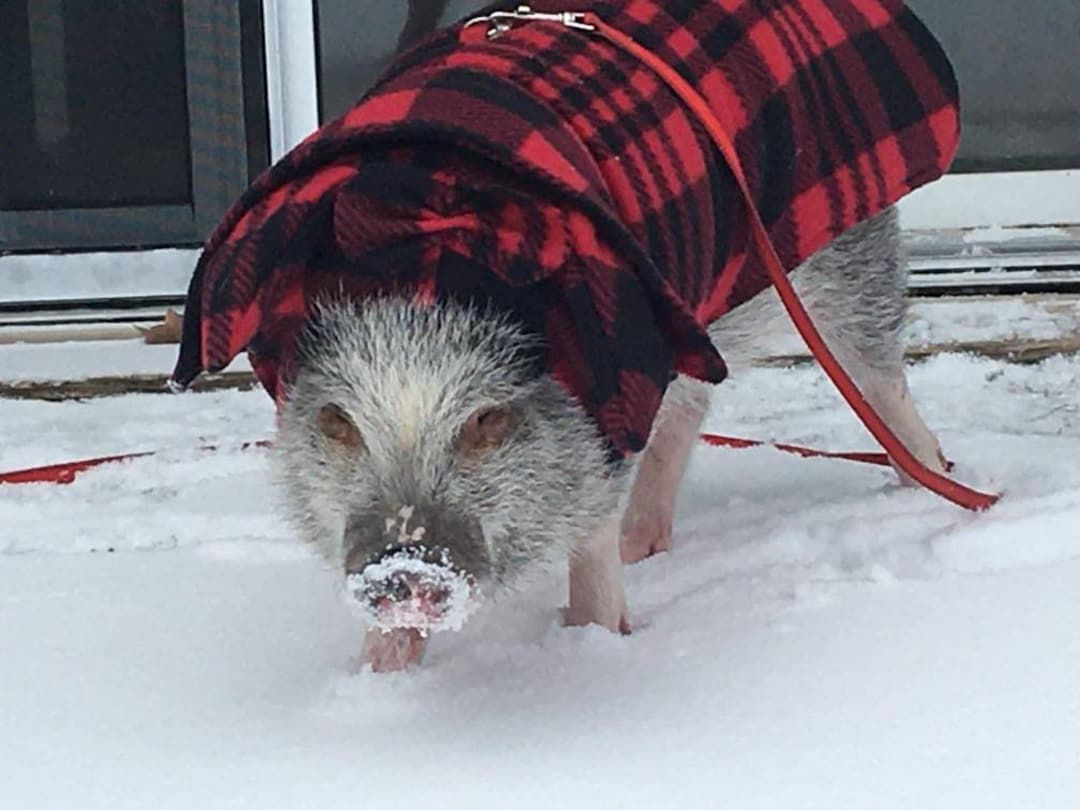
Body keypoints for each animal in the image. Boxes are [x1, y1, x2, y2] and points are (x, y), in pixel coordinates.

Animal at [273, 207, 945, 671]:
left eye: (487, 419)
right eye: (338, 420)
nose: (402, 567)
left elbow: (593, 532)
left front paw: (597, 639)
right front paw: (372, 685)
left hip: (847, 260)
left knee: (878, 373)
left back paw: (929, 482)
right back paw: (641, 547)